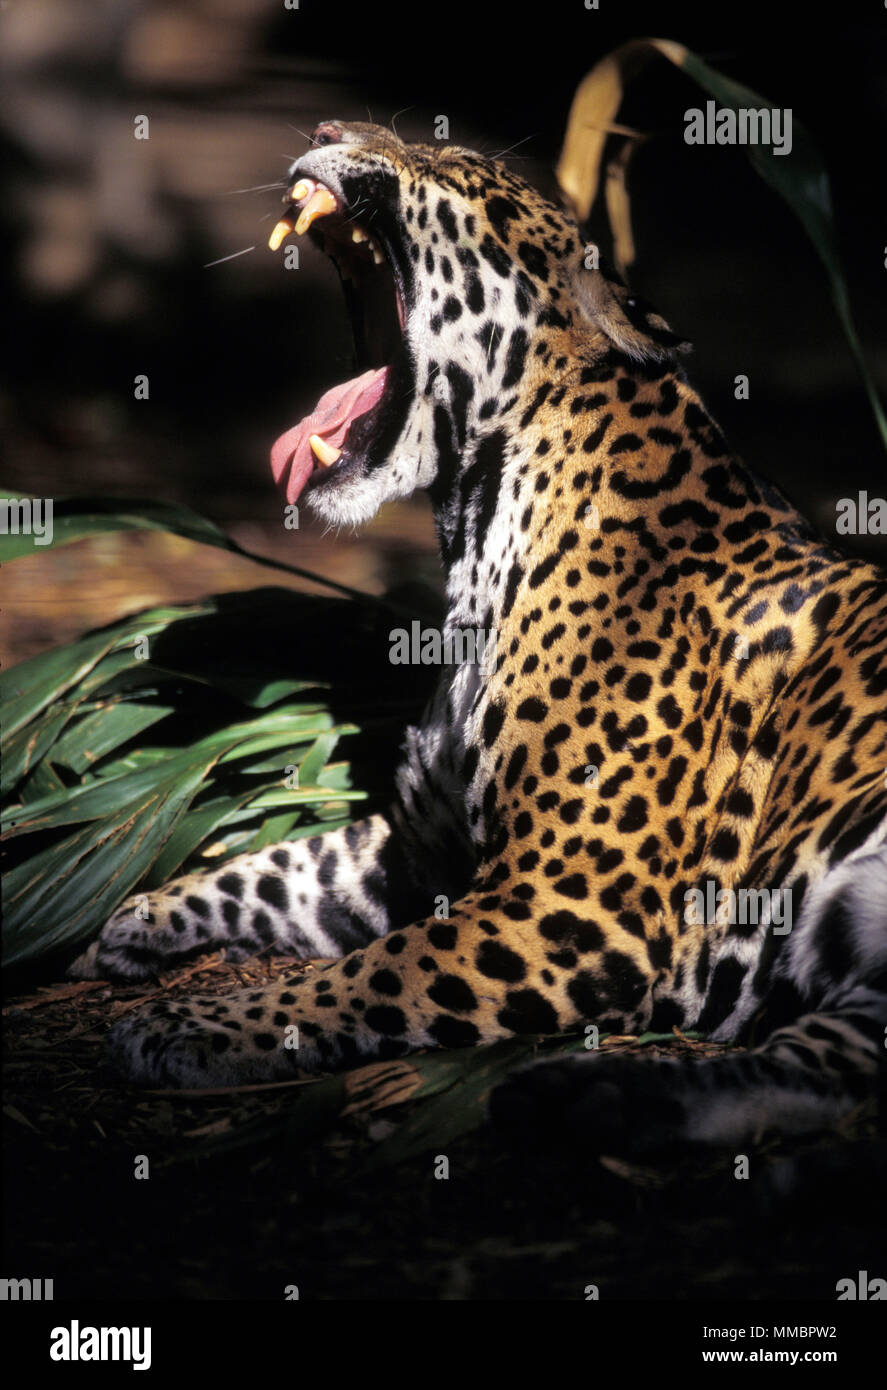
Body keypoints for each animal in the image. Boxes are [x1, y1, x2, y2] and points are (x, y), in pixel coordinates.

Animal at [70, 119, 887, 1153]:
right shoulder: (416, 853)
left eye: (456, 166)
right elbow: (279, 869)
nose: (328, 130)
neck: (475, 531)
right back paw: (593, 1097)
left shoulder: (568, 906)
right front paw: (133, 917)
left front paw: (190, 1025)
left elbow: (364, 975)